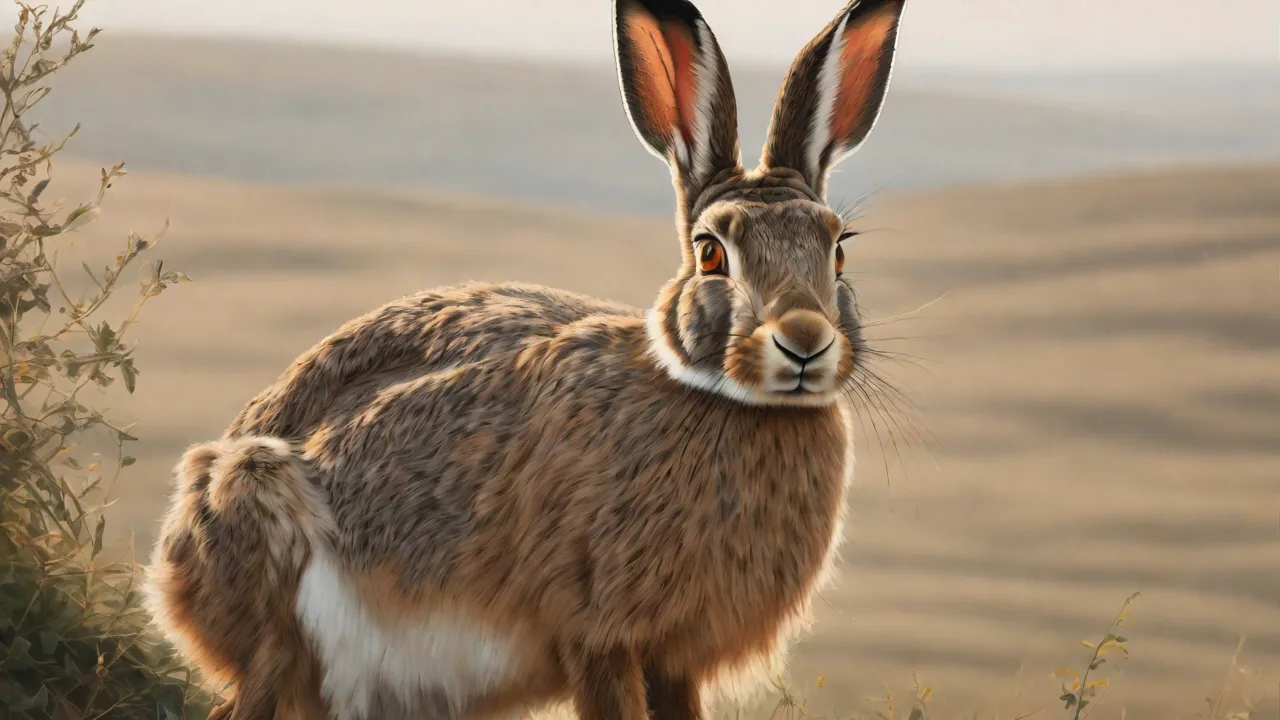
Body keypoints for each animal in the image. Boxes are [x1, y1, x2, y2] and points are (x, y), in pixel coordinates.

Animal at [145, 0, 908, 718]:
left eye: (838, 249)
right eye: (711, 252)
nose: (804, 341)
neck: (719, 394)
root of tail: (173, 572)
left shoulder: (674, 657)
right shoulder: (597, 632)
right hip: (267, 549)